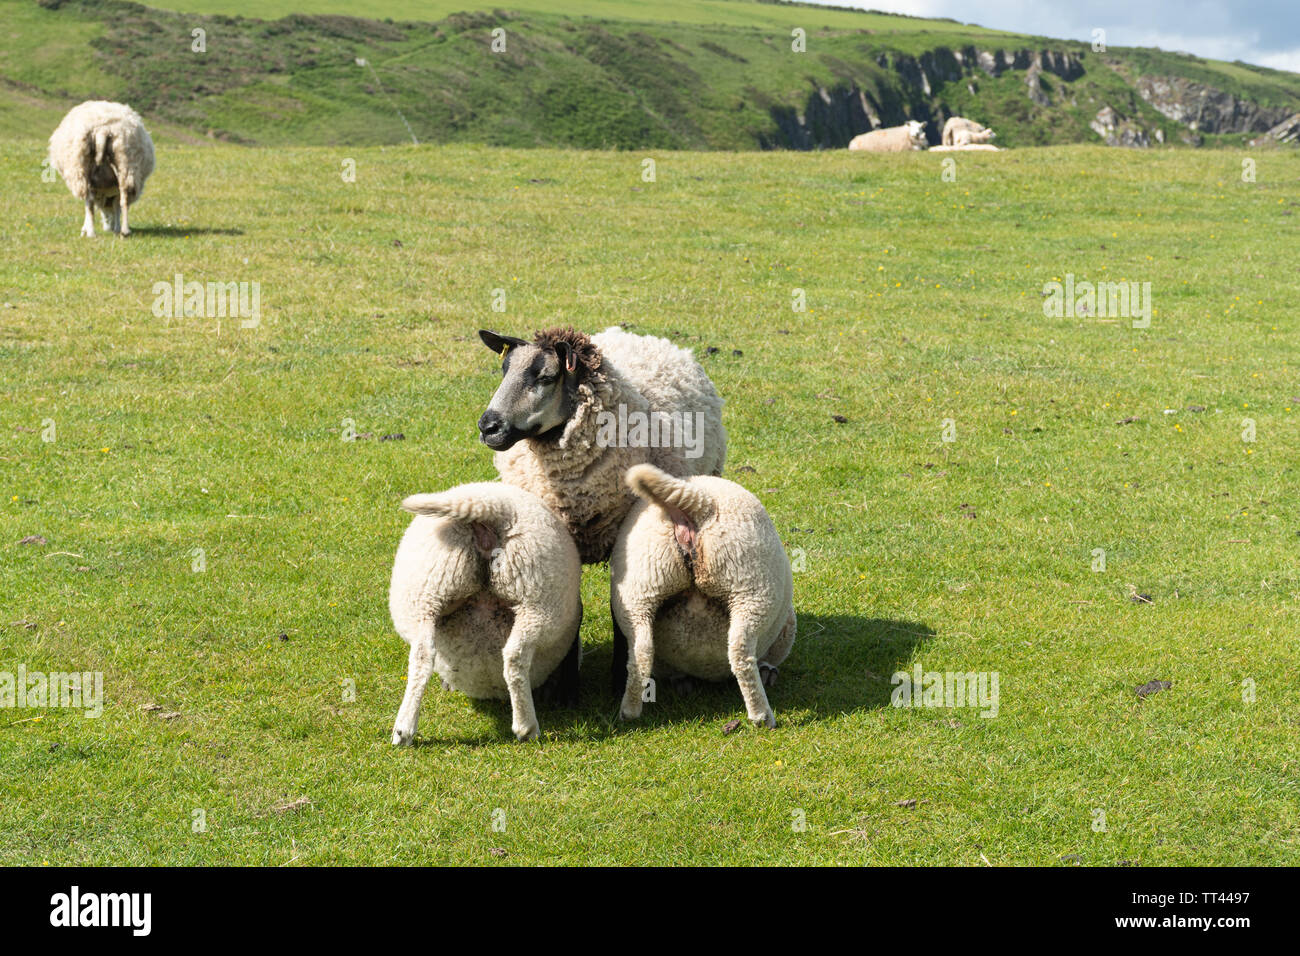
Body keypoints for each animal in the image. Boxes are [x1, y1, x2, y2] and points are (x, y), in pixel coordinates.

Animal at [48, 101, 155, 238]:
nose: (107, 228)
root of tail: (103, 130)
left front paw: (85, 228)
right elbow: (117, 205)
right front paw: (116, 228)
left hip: (81, 170)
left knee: (89, 202)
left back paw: (91, 232)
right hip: (126, 164)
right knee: (124, 199)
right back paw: (124, 231)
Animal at [389, 481, 583, 744]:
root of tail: (491, 508)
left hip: (427, 594)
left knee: (422, 656)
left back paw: (404, 729)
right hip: (537, 600)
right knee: (515, 656)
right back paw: (526, 727)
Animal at [610, 464, 796, 729]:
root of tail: (698, 504)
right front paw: (768, 670)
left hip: (640, 589)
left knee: (641, 652)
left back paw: (630, 711)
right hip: (749, 587)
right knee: (740, 652)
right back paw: (761, 716)